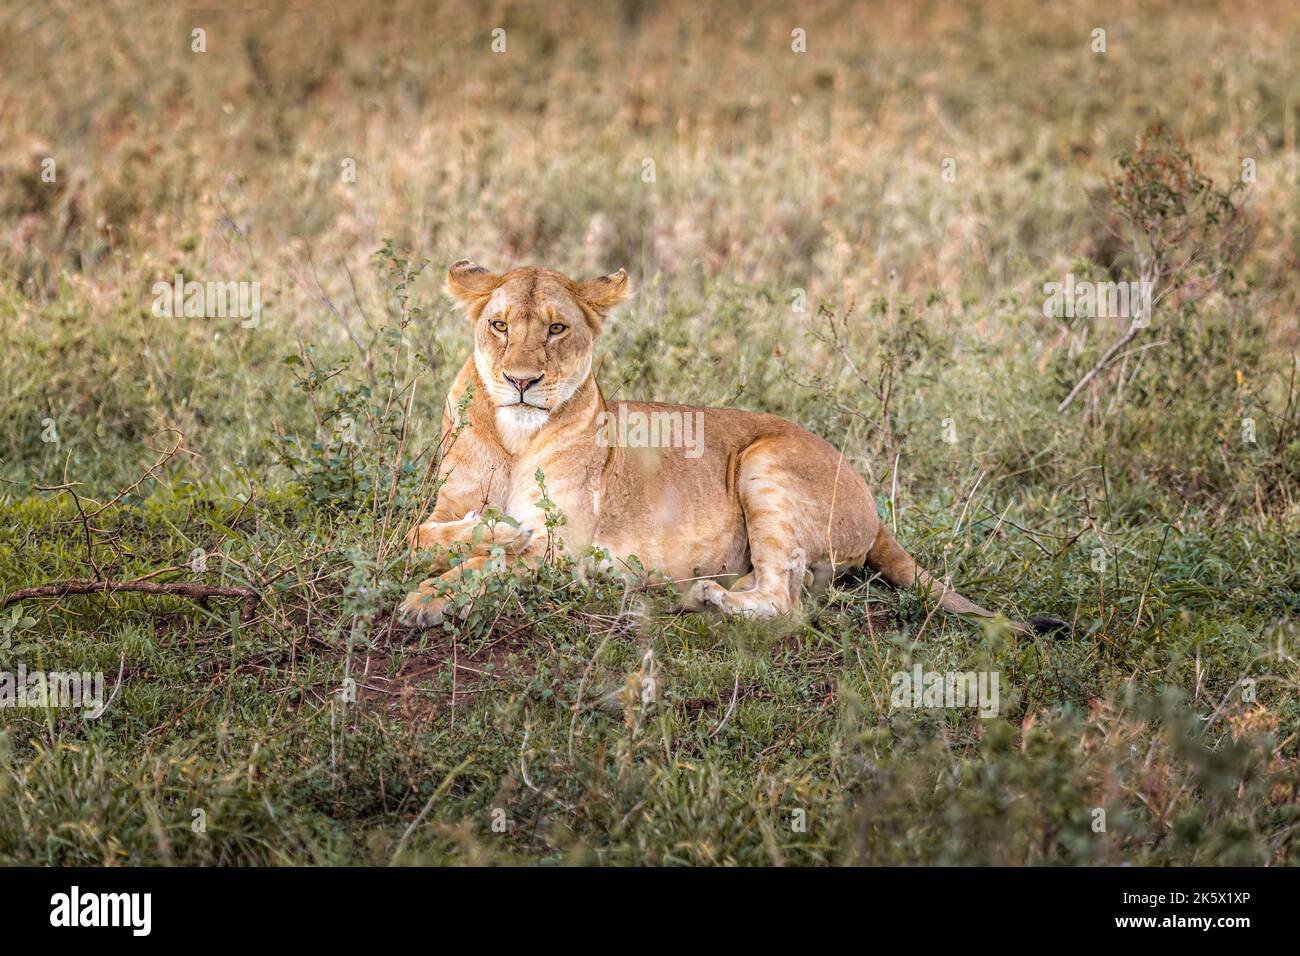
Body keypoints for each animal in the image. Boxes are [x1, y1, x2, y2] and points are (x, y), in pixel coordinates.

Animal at [399, 260, 1065, 636]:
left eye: (557, 329)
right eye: (500, 325)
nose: (521, 381)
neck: (517, 436)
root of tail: (876, 512)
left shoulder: (564, 543)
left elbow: (489, 561)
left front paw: (427, 599)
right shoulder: (446, 506)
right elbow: (421, 536)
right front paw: (482, 537)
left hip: (764, 462)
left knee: (789, 604)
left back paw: (707, 597)